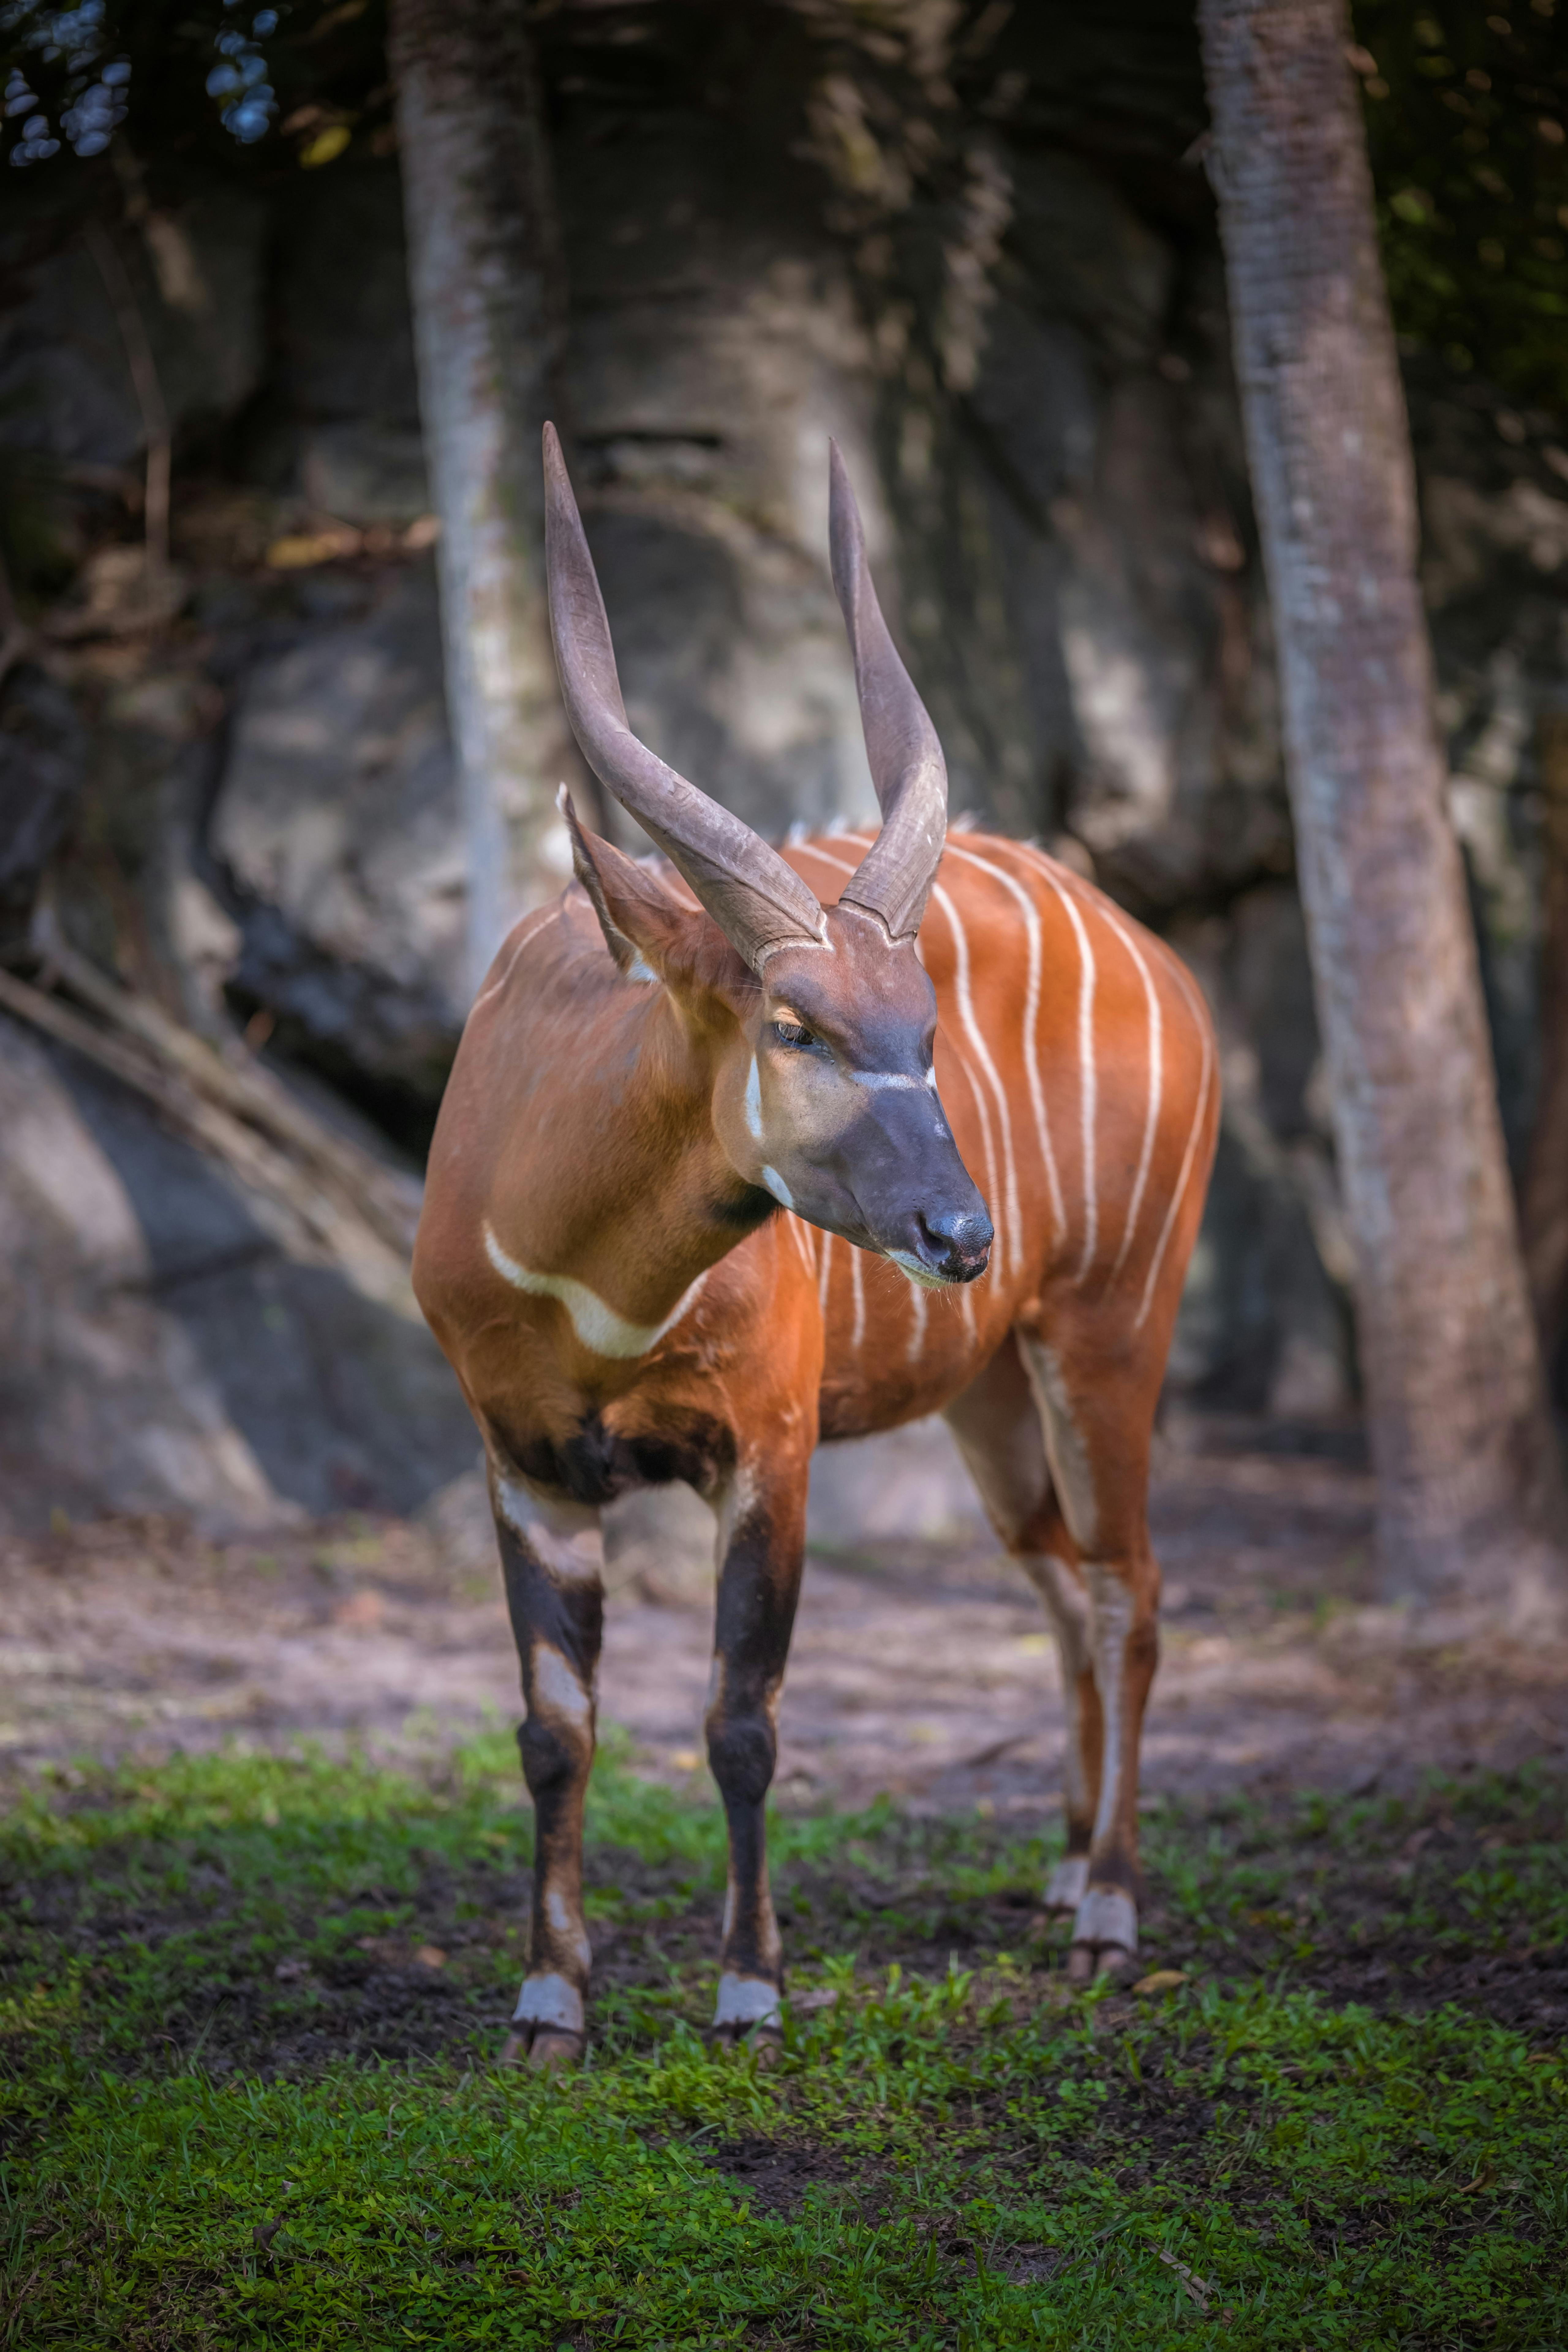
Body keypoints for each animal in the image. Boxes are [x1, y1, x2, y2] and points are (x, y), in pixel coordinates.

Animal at [413, 425, 1219, 2067]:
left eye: (924, 1028)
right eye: (794, 1021)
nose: (960, 1229)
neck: (589, 1277)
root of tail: (1159, 959)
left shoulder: (765, 1445)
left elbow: (740, 1717)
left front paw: (746, 1992)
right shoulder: (522, 1456)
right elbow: (550, 1727)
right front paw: (545, 2007)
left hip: (1107, 1326)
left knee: (1129, 1584)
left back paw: (1108, 1914)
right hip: (988, 1394)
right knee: (1057, 1580)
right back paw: (1057, 1871)